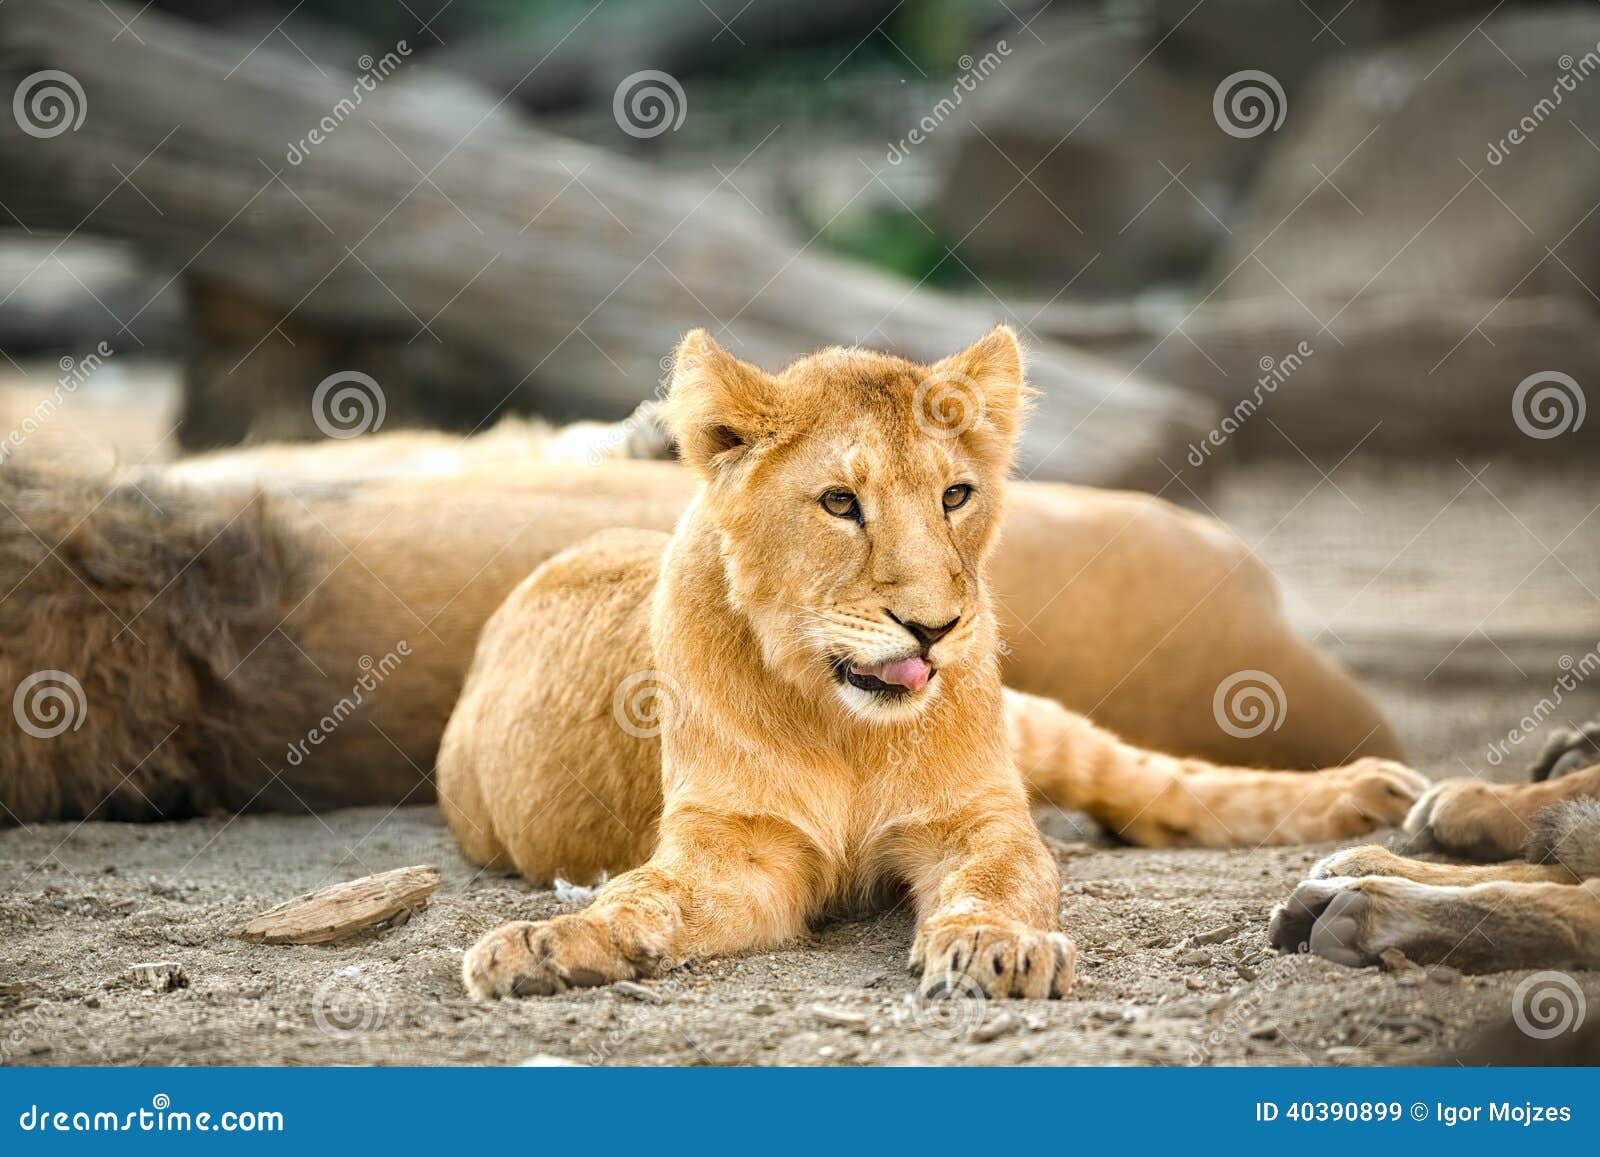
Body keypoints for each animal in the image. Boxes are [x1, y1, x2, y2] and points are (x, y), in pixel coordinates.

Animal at [439, 328, 1427, 1000]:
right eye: (840, 502)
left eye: (956, 494)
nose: (935, 626)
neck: (842, 724)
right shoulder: (736, 848)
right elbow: (642, 896)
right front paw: (549, 941)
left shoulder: (977, 815)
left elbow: (998, 882)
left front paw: (999, 950)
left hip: (1036, 727)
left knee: (1162, 788)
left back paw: (1371, 795)